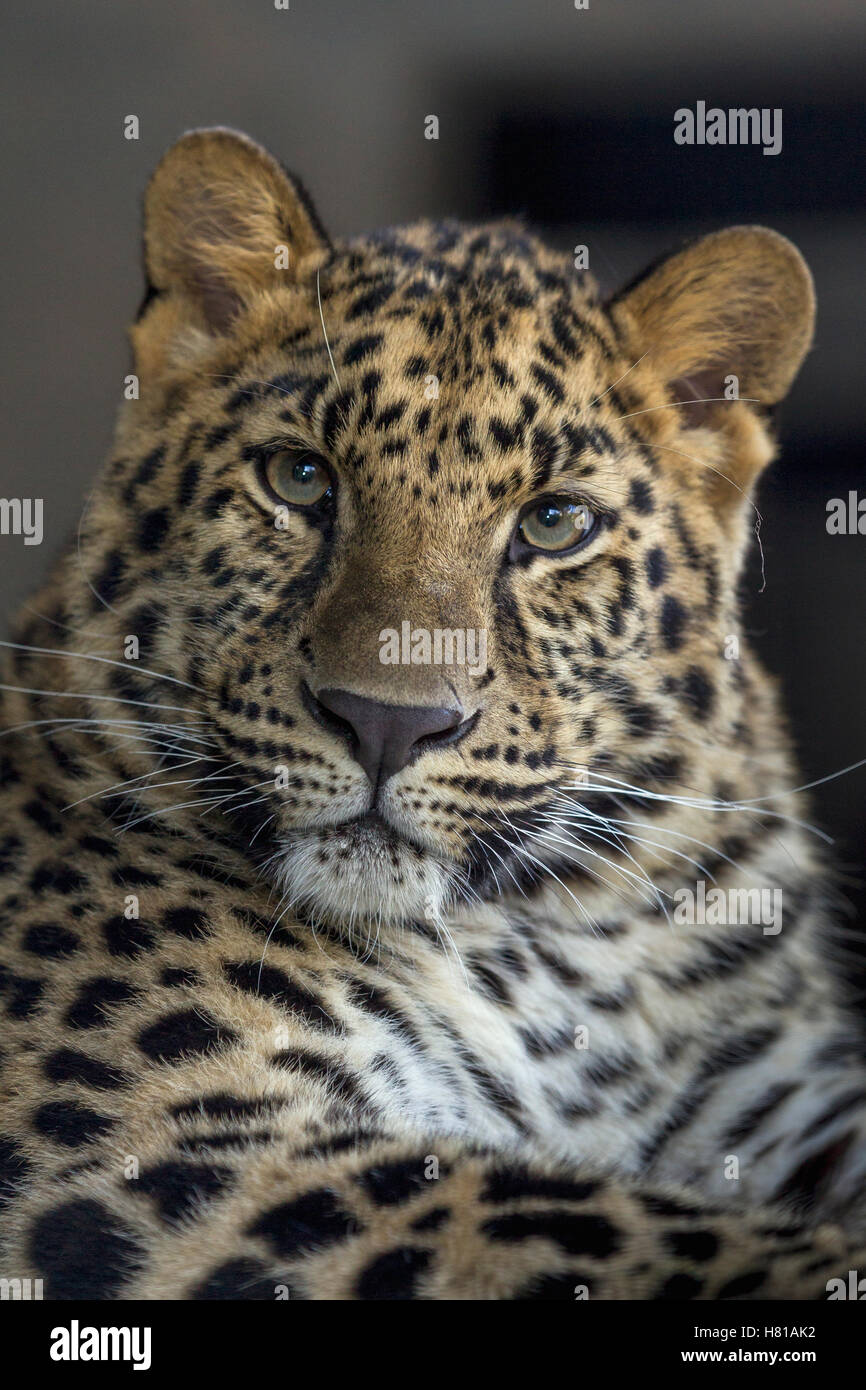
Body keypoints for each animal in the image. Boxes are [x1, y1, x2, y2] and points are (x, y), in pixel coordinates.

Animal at [1, 126, 865, 1301]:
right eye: (298, 478)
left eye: (553, 524)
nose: (384, 724)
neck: (563, 956)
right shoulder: (167, 1151)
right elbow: (618, 1226)